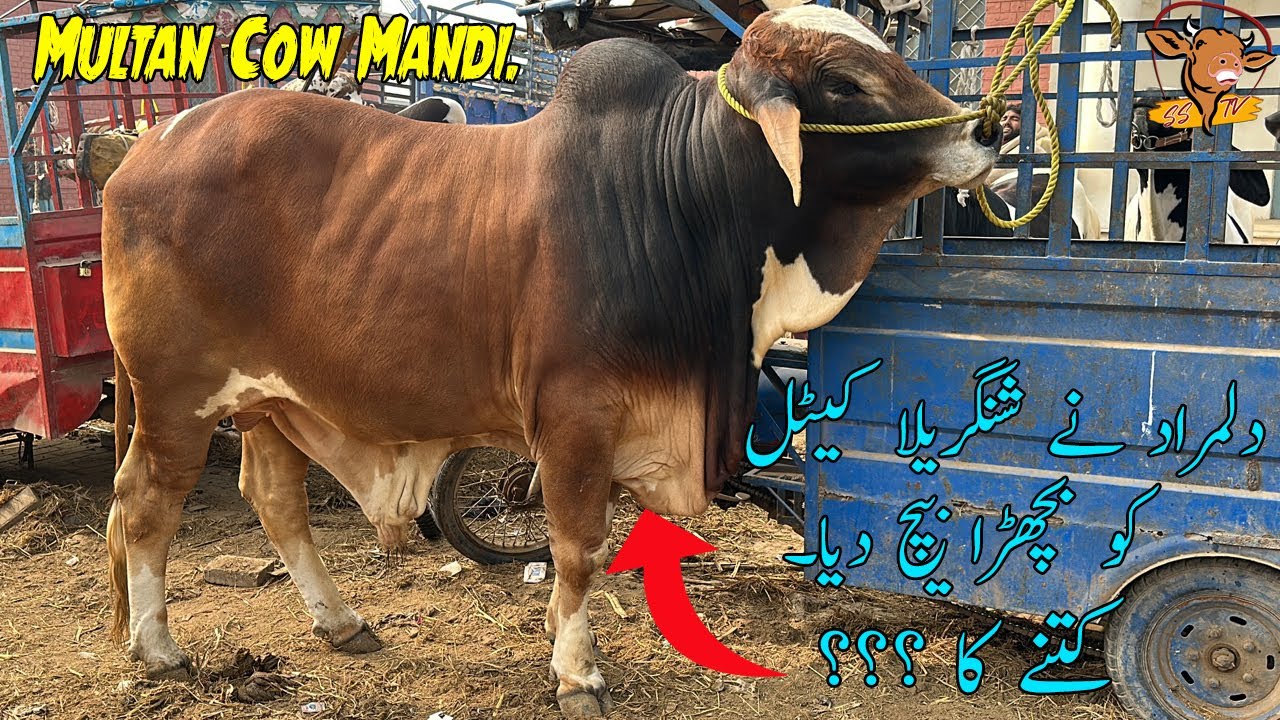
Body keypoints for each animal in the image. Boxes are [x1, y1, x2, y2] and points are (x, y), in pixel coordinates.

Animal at [100, 6, 998, 716]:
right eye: (845, 80)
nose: (986, 127)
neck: (681, 194)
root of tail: (140, 153)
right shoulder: (574, 416)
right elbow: (576, 549)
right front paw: (576, 672)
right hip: (174, 395)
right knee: (144, 504)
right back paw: (159, 649)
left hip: (272, 402)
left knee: (275, 500)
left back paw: (341, 622)